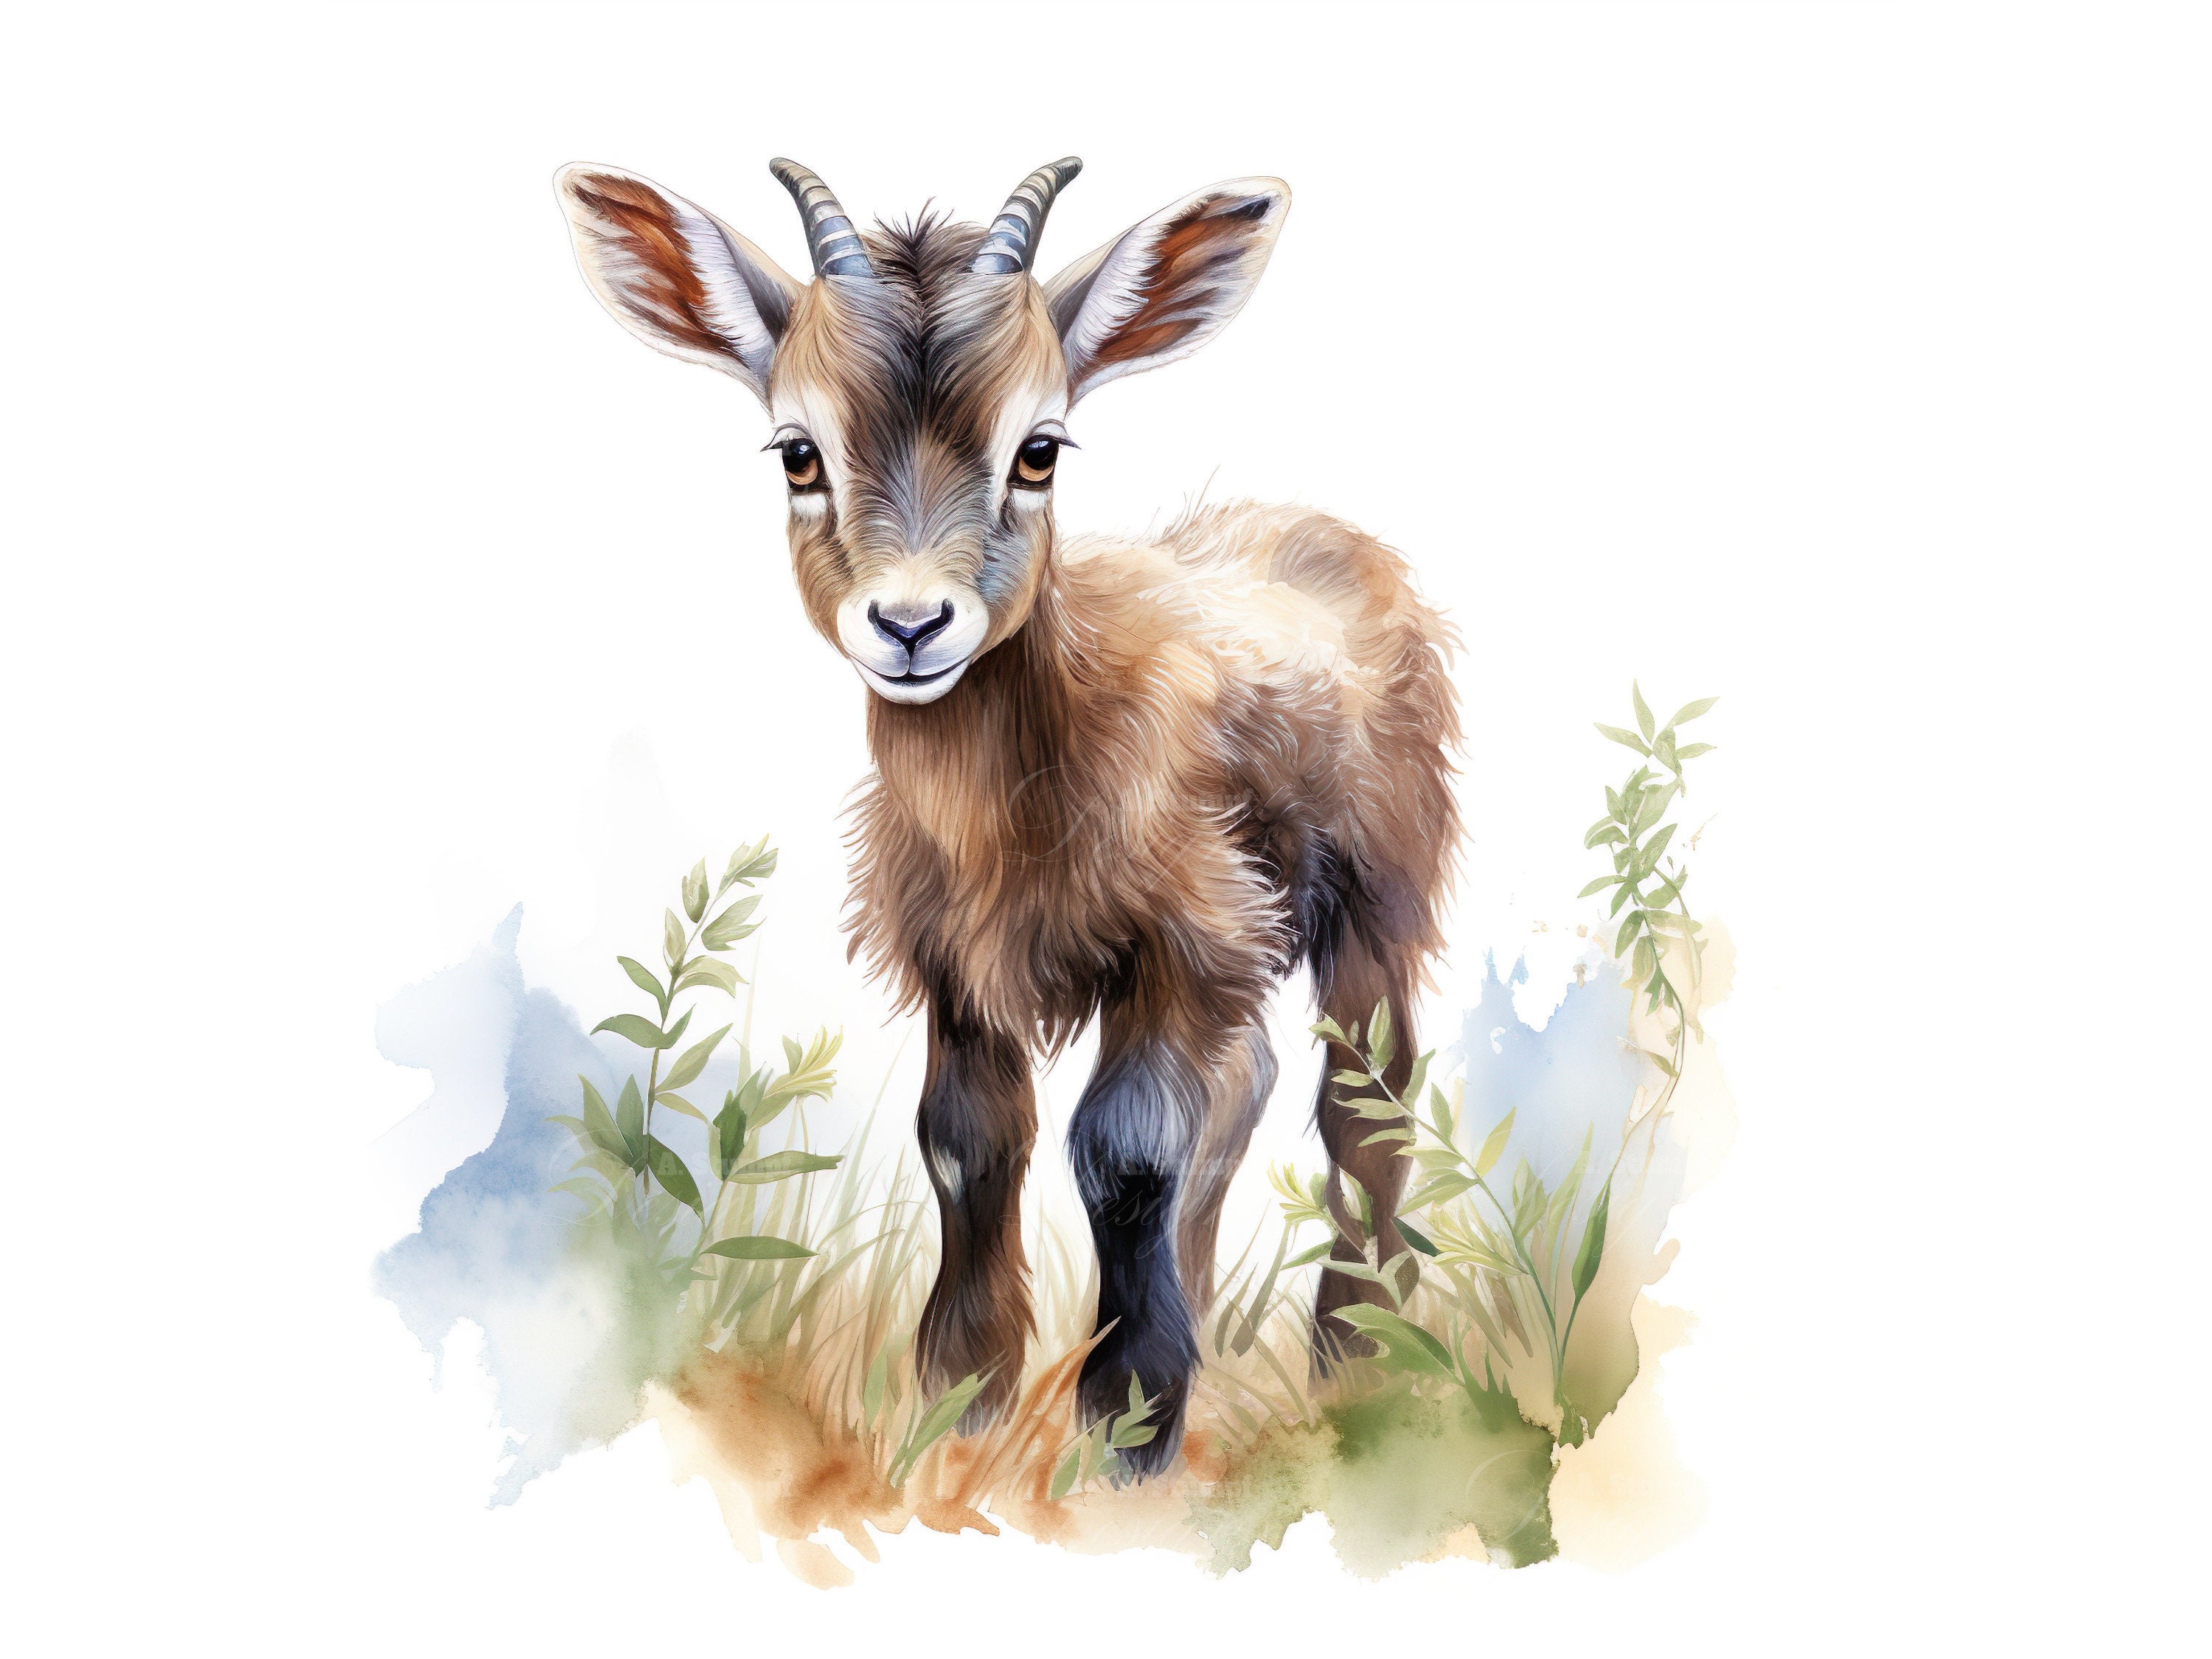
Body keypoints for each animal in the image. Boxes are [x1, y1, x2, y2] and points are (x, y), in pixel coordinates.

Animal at [558, 158, 1462, 1479]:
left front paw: (1126, 1423)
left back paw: (1359, 1361)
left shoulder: (1189, 938)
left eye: (1039, 449)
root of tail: (1320, 531)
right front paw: (961, 1397)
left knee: (1365, 1105)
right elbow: (969, 1140)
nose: (910, 623)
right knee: (1245, 1086)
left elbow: (1126, 1149)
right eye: (797, 452)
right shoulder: (954, 959)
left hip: (1379, 899)